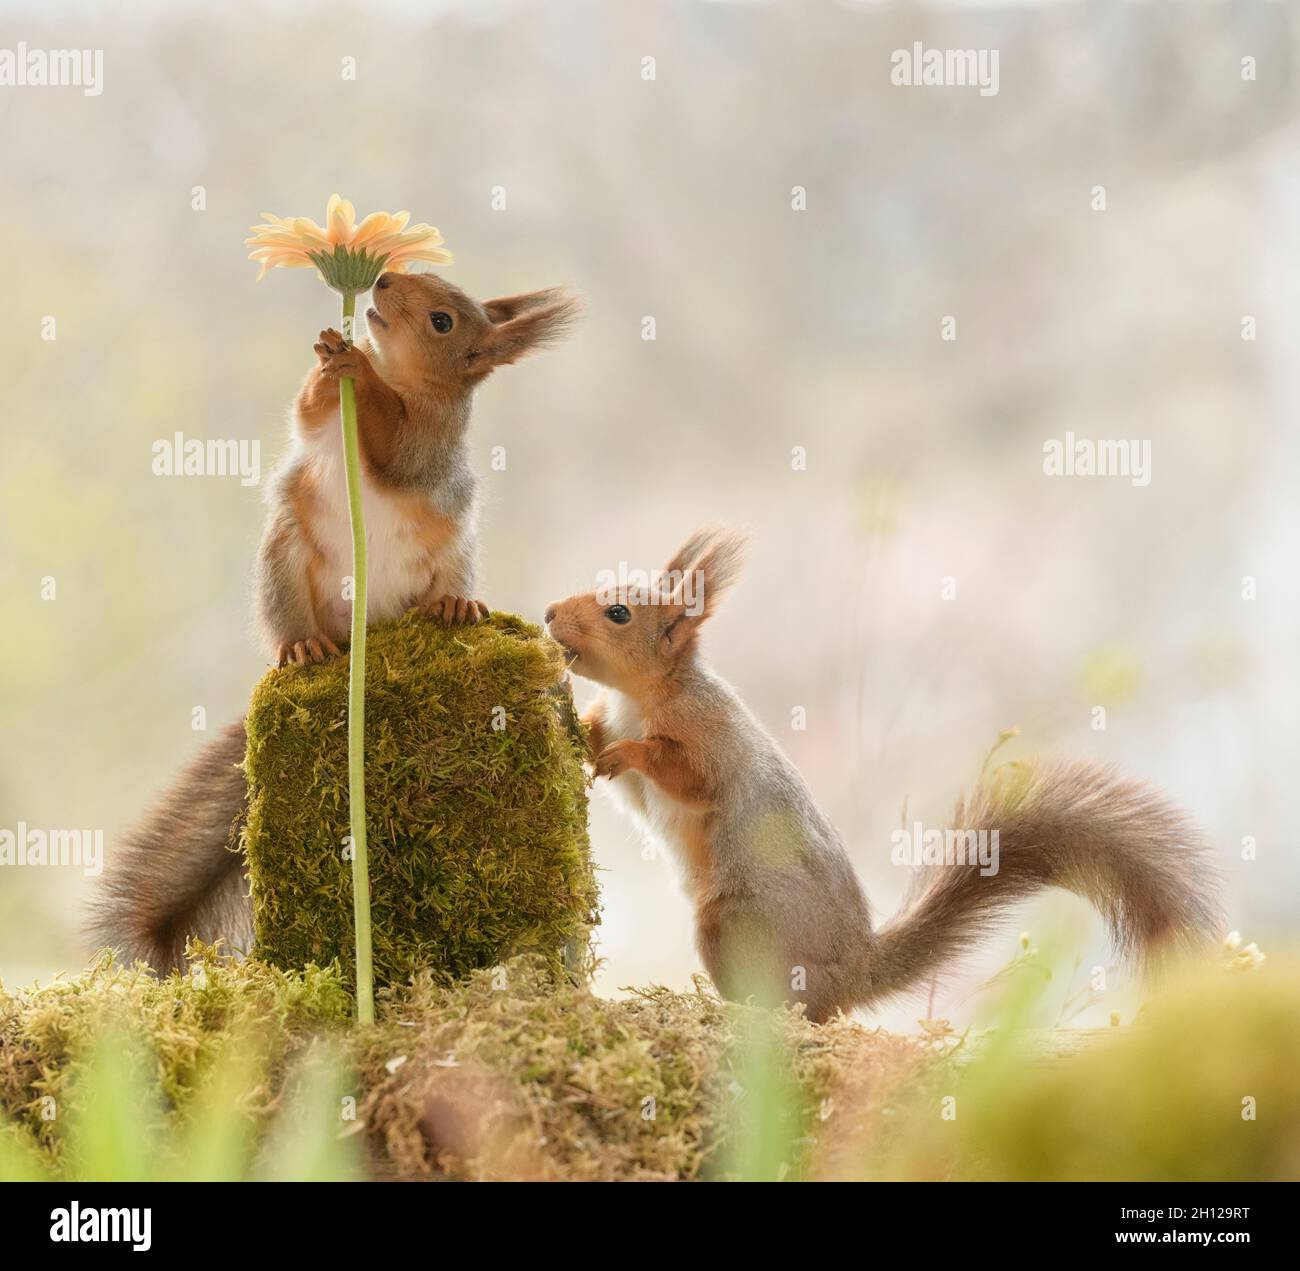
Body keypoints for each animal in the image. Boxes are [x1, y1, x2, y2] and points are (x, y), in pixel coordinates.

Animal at [90, 269, 577, 971]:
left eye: (442, 321)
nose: (383, 277)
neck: (407, 380)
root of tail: (365, 632)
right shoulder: (321, 429)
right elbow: (308, 412)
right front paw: (328, 355)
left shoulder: (431, 442)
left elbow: (397, 450)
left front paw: (359, 372)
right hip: (286, 558)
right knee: (294, 619)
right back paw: (302, 648)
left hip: (456, 552)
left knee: (447, 583)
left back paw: (453, 606)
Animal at [544, 525, 1223, 1023]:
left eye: (619, 613)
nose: (548, 612)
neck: (642, 698)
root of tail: (855, 972)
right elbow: (602, 734)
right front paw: (580, 725)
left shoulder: (710, 737)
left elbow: (684, 774)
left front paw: (626, 754)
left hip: (736, 925)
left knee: (805, 1013)